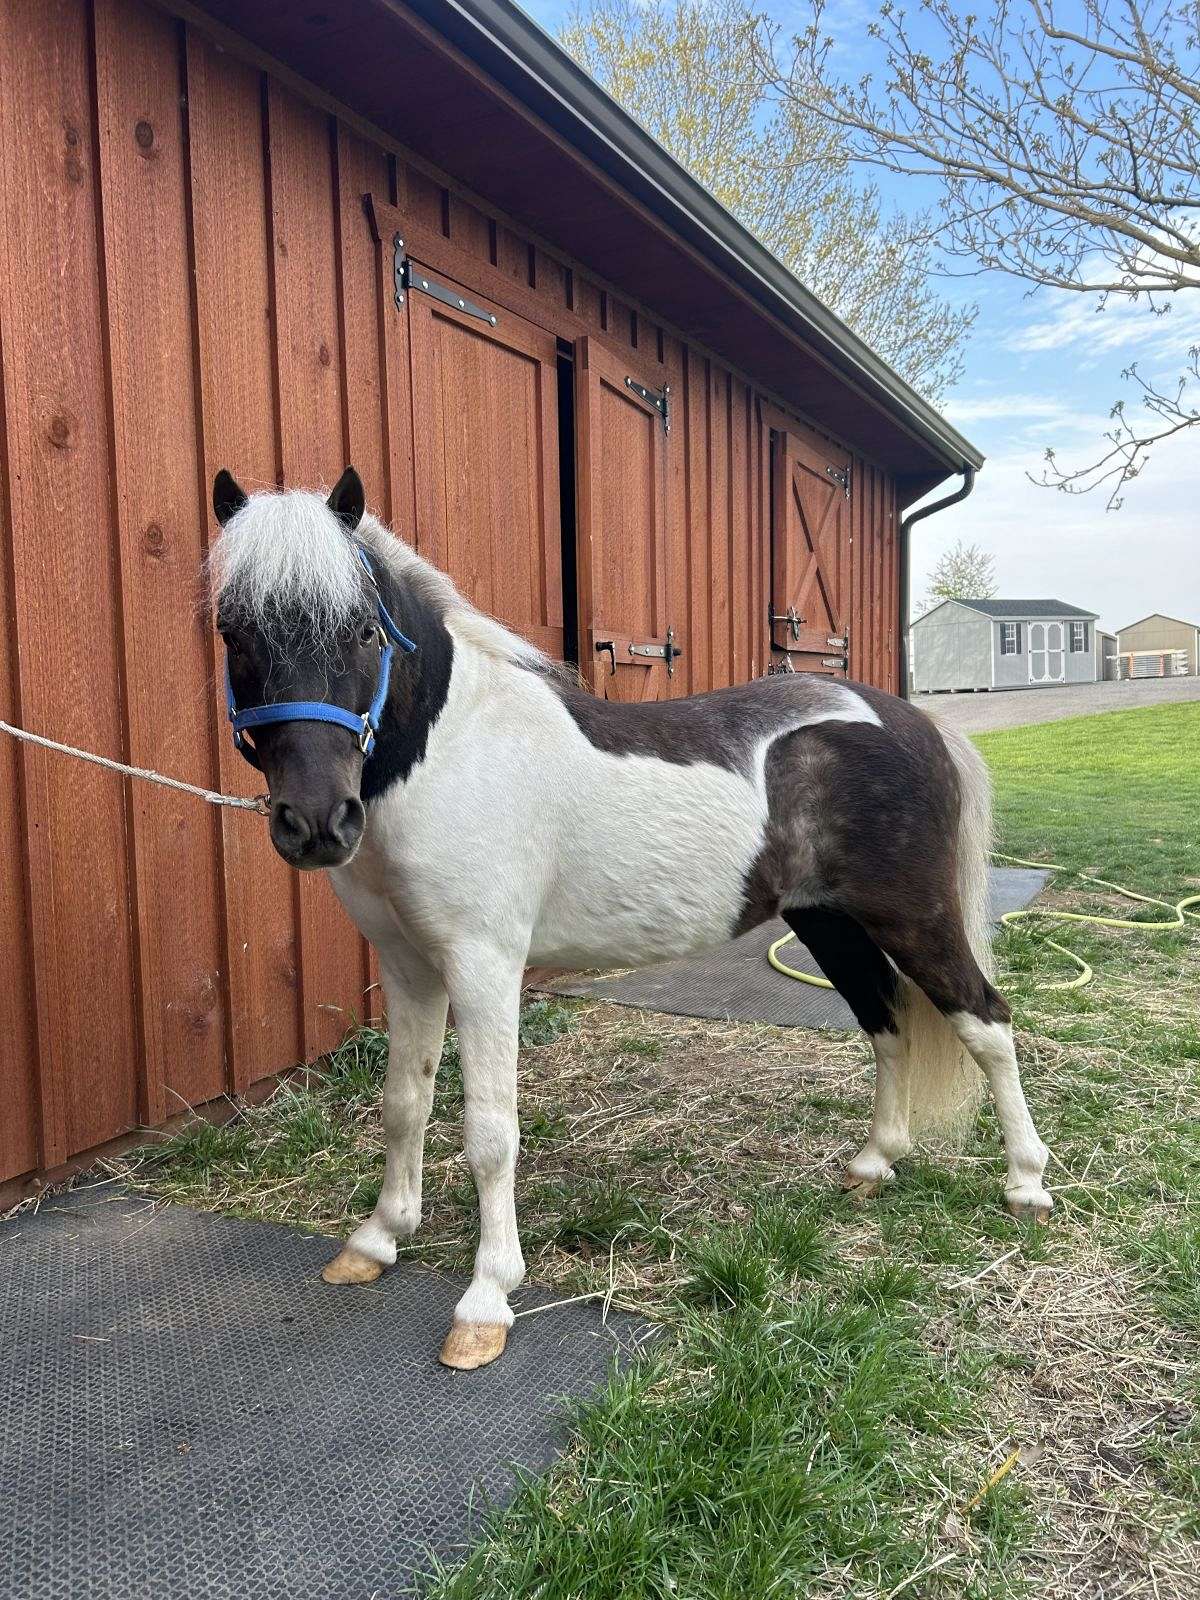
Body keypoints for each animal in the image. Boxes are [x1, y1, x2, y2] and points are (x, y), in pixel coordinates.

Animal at [209, 465, 1053, 1370]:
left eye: (364, 628)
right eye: (232, 630)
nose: (316, 823)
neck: (455, 750)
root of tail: (913, 720)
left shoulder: (483, 964)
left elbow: (490, 1131)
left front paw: (487, 1301)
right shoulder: (407, 964)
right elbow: (405, 1102)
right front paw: (377, 1241)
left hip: (913, 917)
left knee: (987, 1020)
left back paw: (1026, 1184)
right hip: (831, 922)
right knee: (886, 1022)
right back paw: (873, 1164)